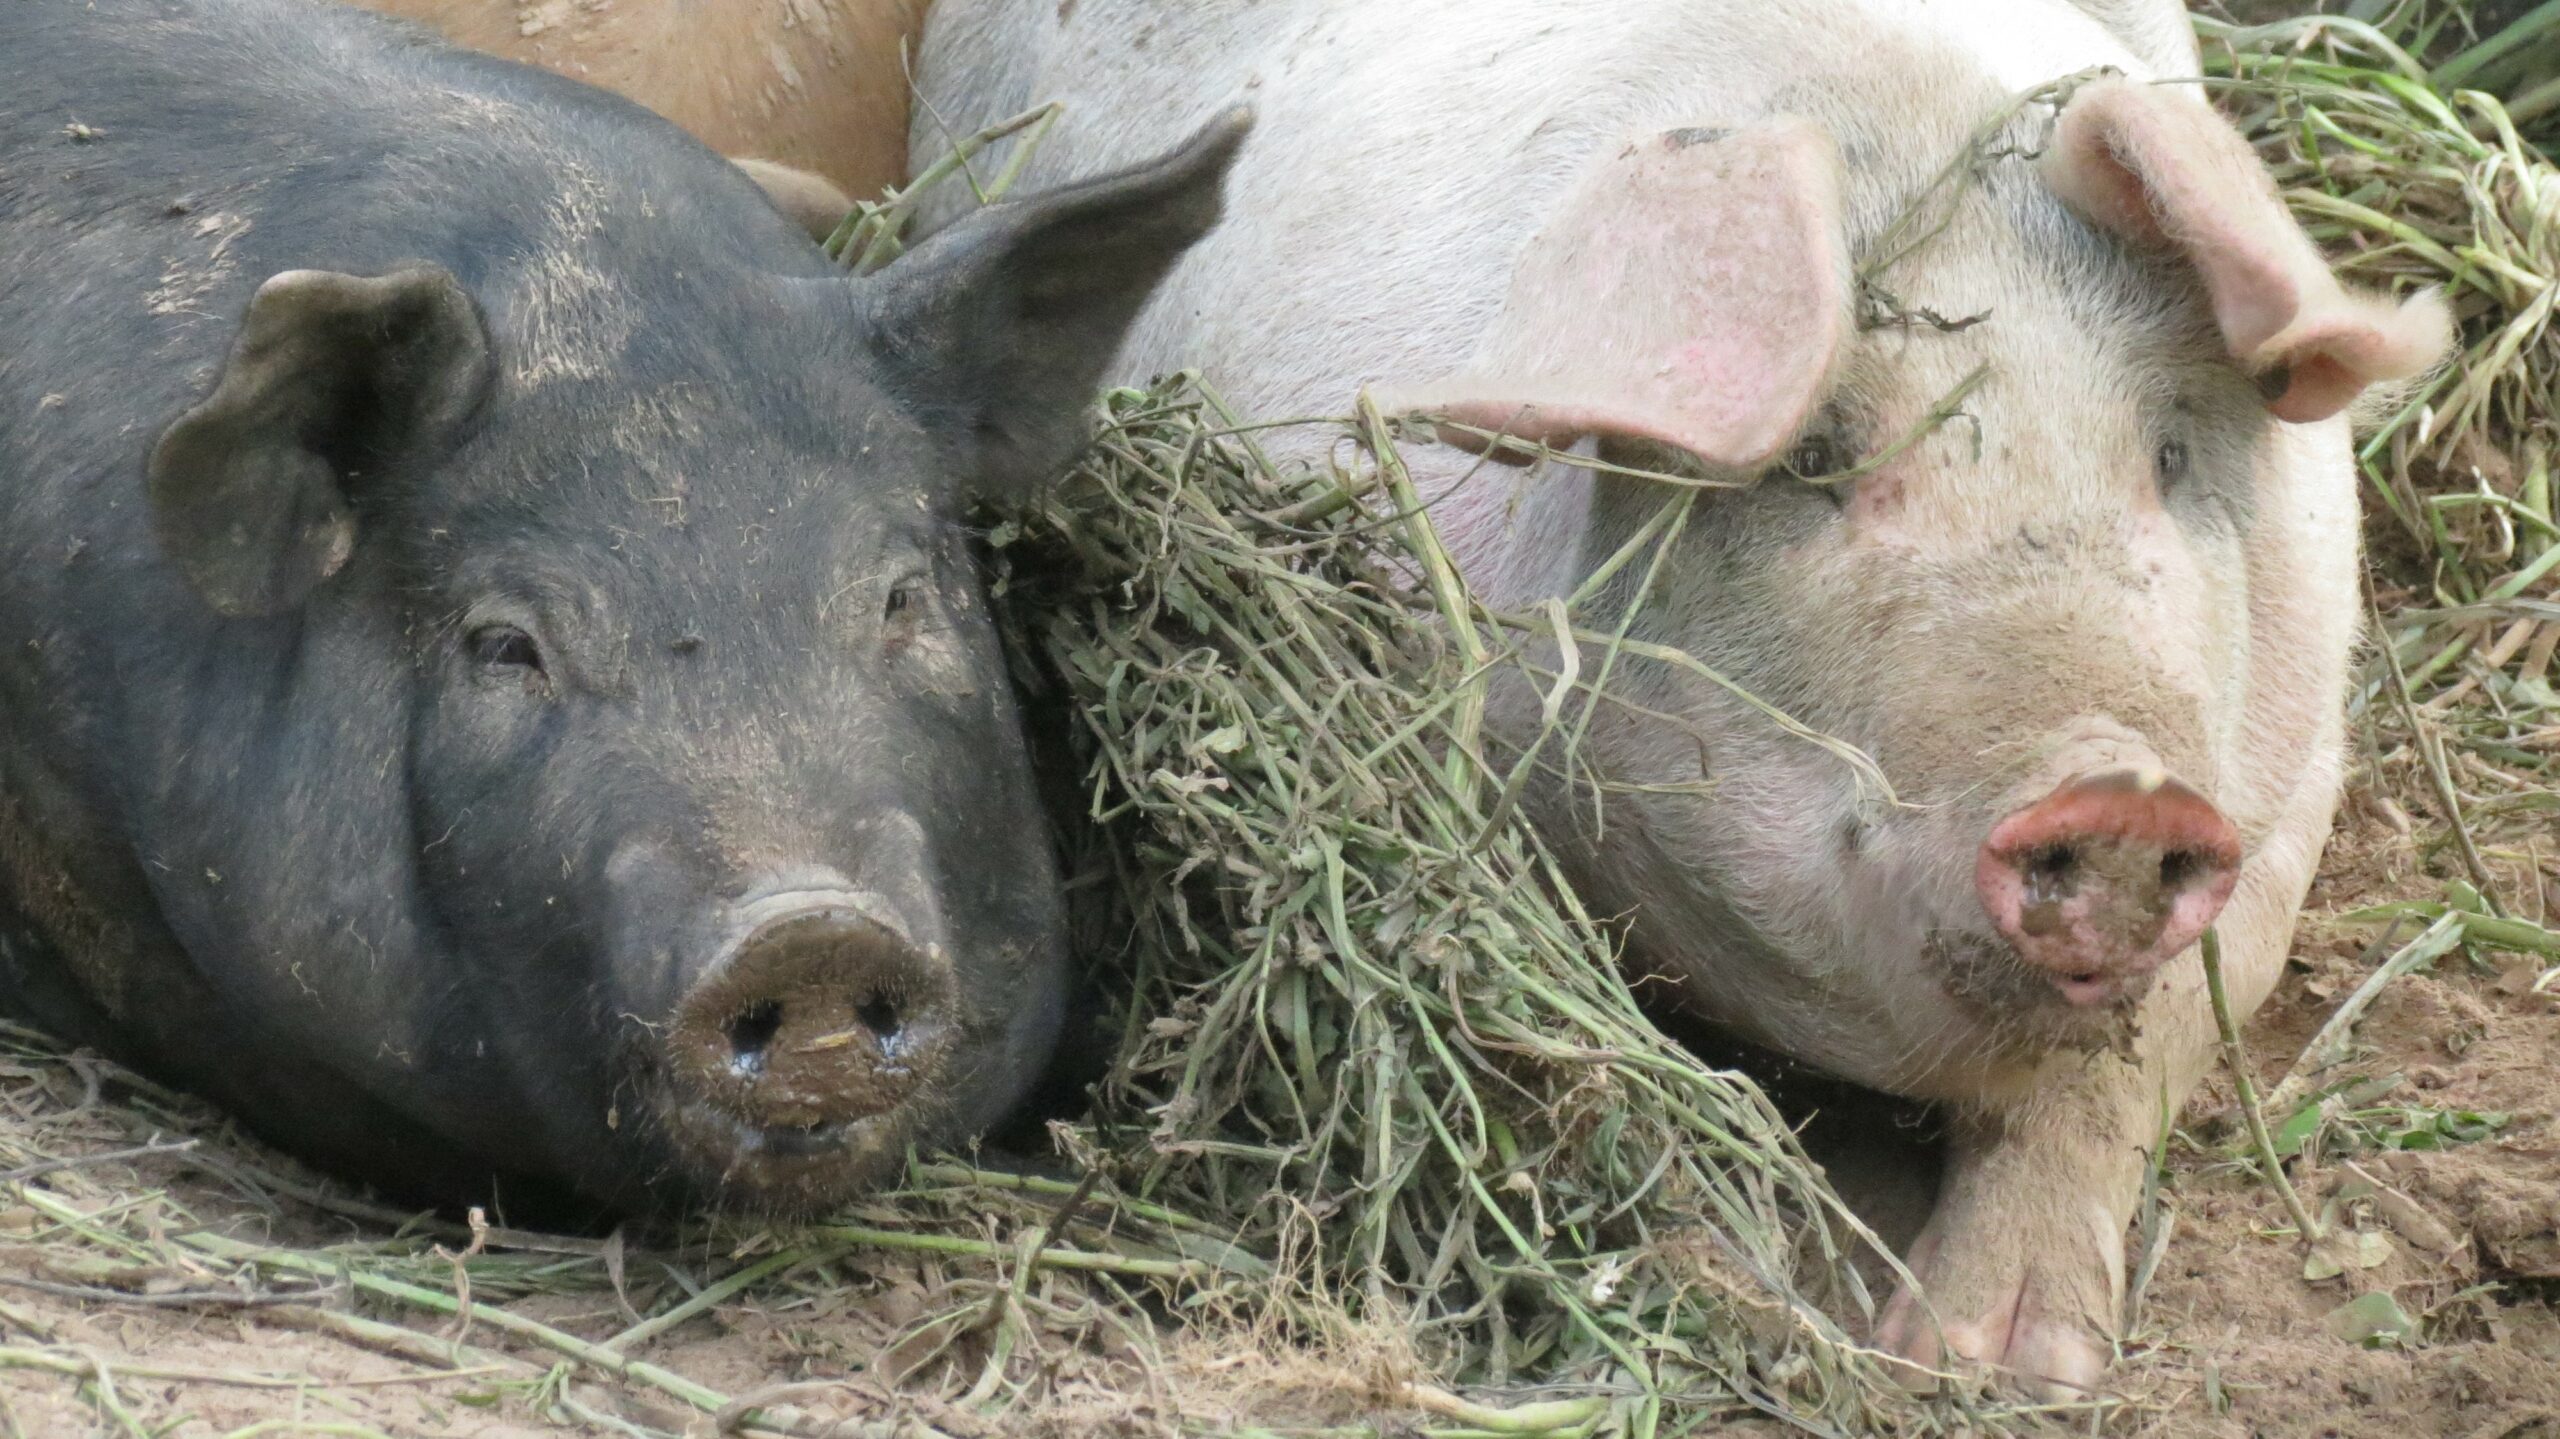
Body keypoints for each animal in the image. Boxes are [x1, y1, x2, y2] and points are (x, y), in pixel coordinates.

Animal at [908, 0, 2451, 1394]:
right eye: (1818, 457)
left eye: (2172, 454)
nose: (2121, 790)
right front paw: (1776, 1310)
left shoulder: (2287, 799)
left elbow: (2117, 1070)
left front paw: (2000, 1368)